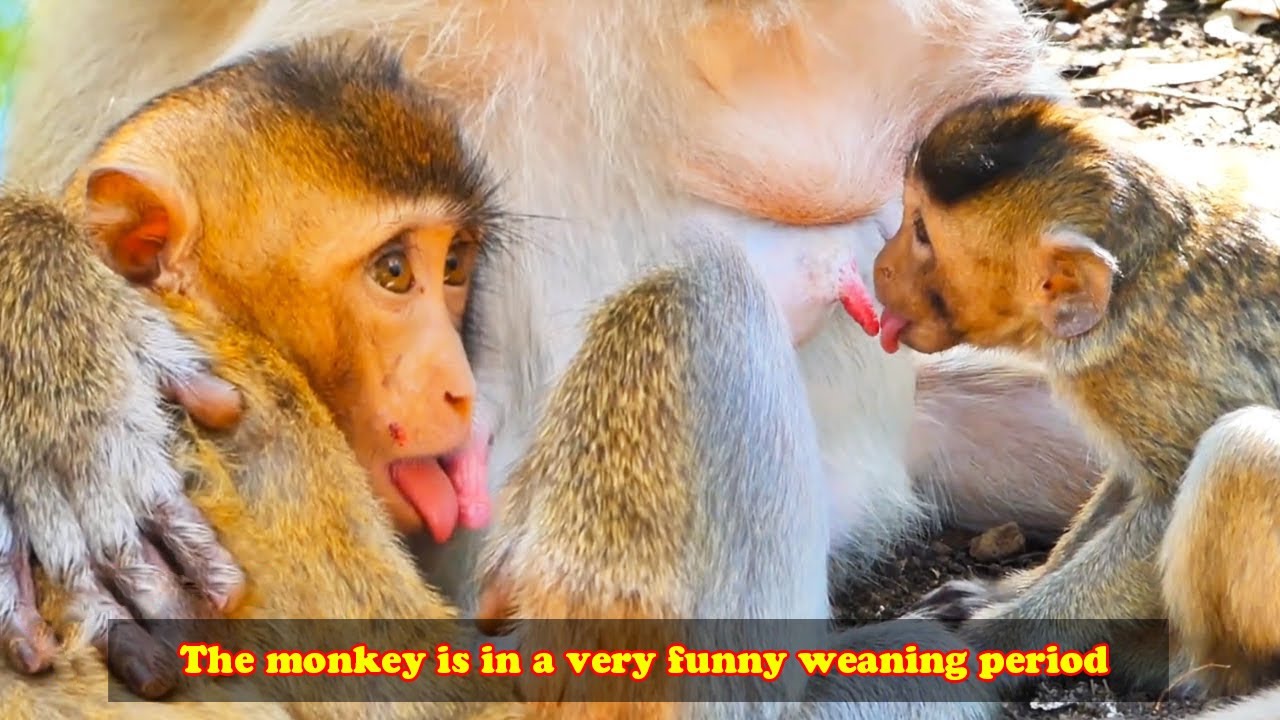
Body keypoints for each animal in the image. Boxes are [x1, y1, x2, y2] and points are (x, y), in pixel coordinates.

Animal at [871, 92, 1280, 701]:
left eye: (921, 232)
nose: (881, 265)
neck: (1130, 282)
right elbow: (1128, 484)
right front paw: (1009, 591)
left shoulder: (1148, 369)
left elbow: (1162, 504)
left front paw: (994, 642)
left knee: (1242, 449)